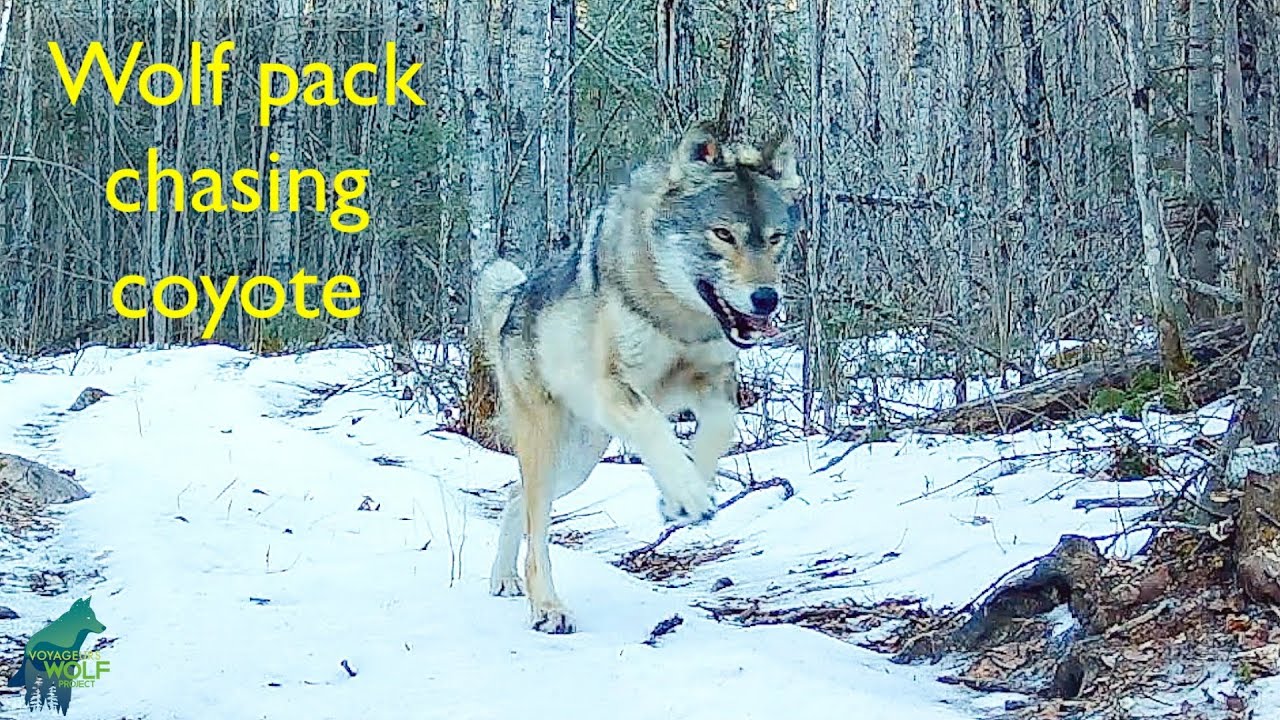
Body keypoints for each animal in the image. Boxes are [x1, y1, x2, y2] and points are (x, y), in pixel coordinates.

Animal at [475, 124, 803, 633]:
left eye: (775, 238)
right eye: (723, 234)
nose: (766, 298)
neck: (676, 315)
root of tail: (514, 298)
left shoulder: (712, 382)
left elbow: (720, 428)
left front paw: (679, 499)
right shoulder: (614, 388)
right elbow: (655, 427)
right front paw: (688, 494)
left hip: (578, 462)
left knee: (515, 498)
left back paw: (504, 578)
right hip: (551, 447)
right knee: (536, 524)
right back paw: (546, 606)